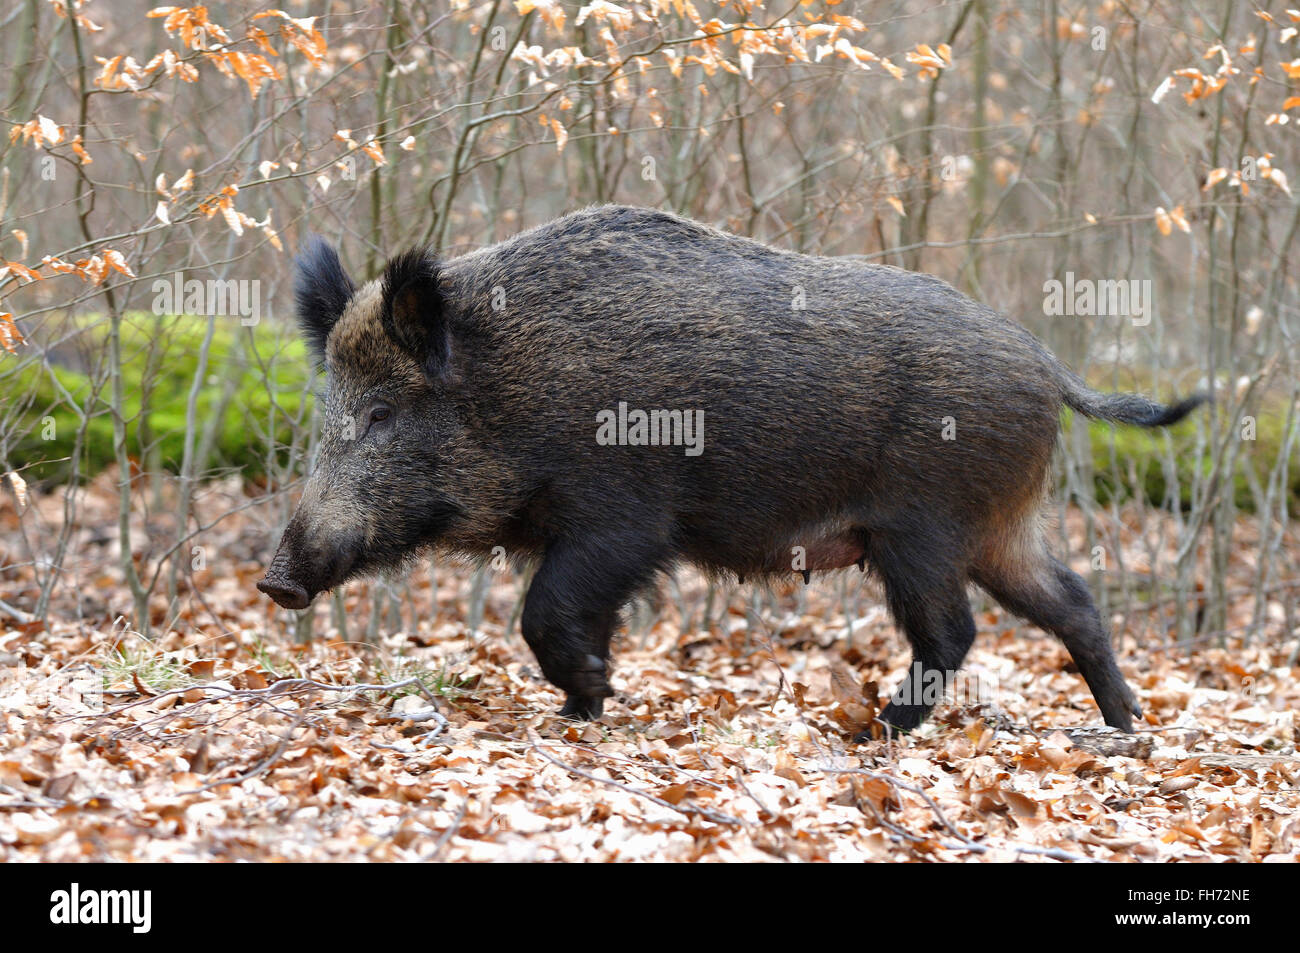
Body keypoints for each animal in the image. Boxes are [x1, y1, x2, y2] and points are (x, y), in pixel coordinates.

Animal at [258, 205, 1203, 738]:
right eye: (331, 401)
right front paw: (580, 711)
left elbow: (545, 612)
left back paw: (874, 731)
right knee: (1073, 600)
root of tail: (1049, 367)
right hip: (997, 529)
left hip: (923, 530)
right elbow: (574, 620)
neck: (514, 383)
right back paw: (1125, 724)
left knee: (955, 632)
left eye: (384, 413)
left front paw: (589, 698)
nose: (275, 580)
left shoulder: (623, 518)